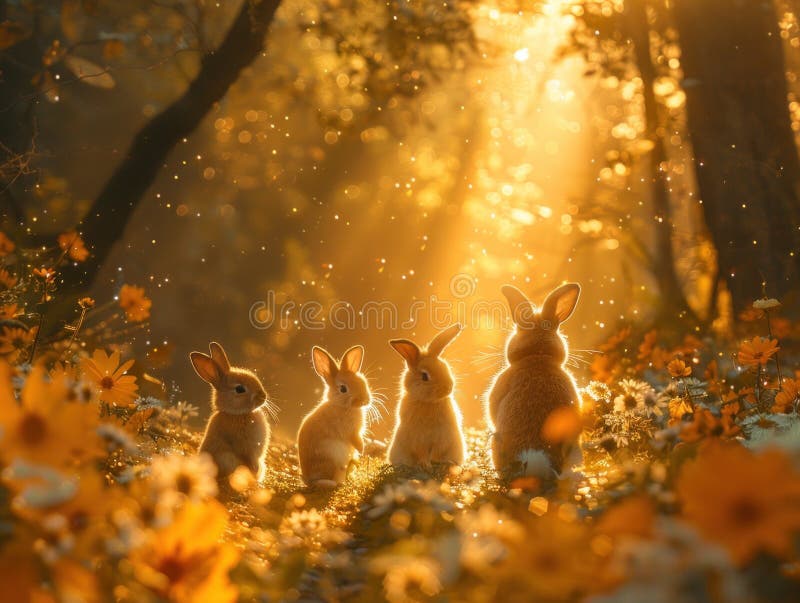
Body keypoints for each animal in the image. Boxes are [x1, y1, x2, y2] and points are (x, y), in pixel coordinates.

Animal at [190, 342, 272, 486]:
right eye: (239, 389)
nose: (264, 396)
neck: (237, 414)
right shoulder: (244, 447)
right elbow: (249, 458)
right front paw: (254, 472)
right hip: (226, 459)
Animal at [297, 345, 371, 488]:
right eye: (343, 389)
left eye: (363, 382)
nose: (365, 400)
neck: (343, 406)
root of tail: (308, 479)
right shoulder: (350, 431)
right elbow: (355, 439)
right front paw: (362, 448)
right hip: (333, 455)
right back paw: (335, 482)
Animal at [387, 323, 467, 468]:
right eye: (424, 376)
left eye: (445, 368)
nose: (448, 387)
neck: (428, 402)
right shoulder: (416, 437)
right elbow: (421, 452)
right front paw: (425, 464)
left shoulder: (443, 435)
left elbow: (437, 450)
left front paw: (434, 462)